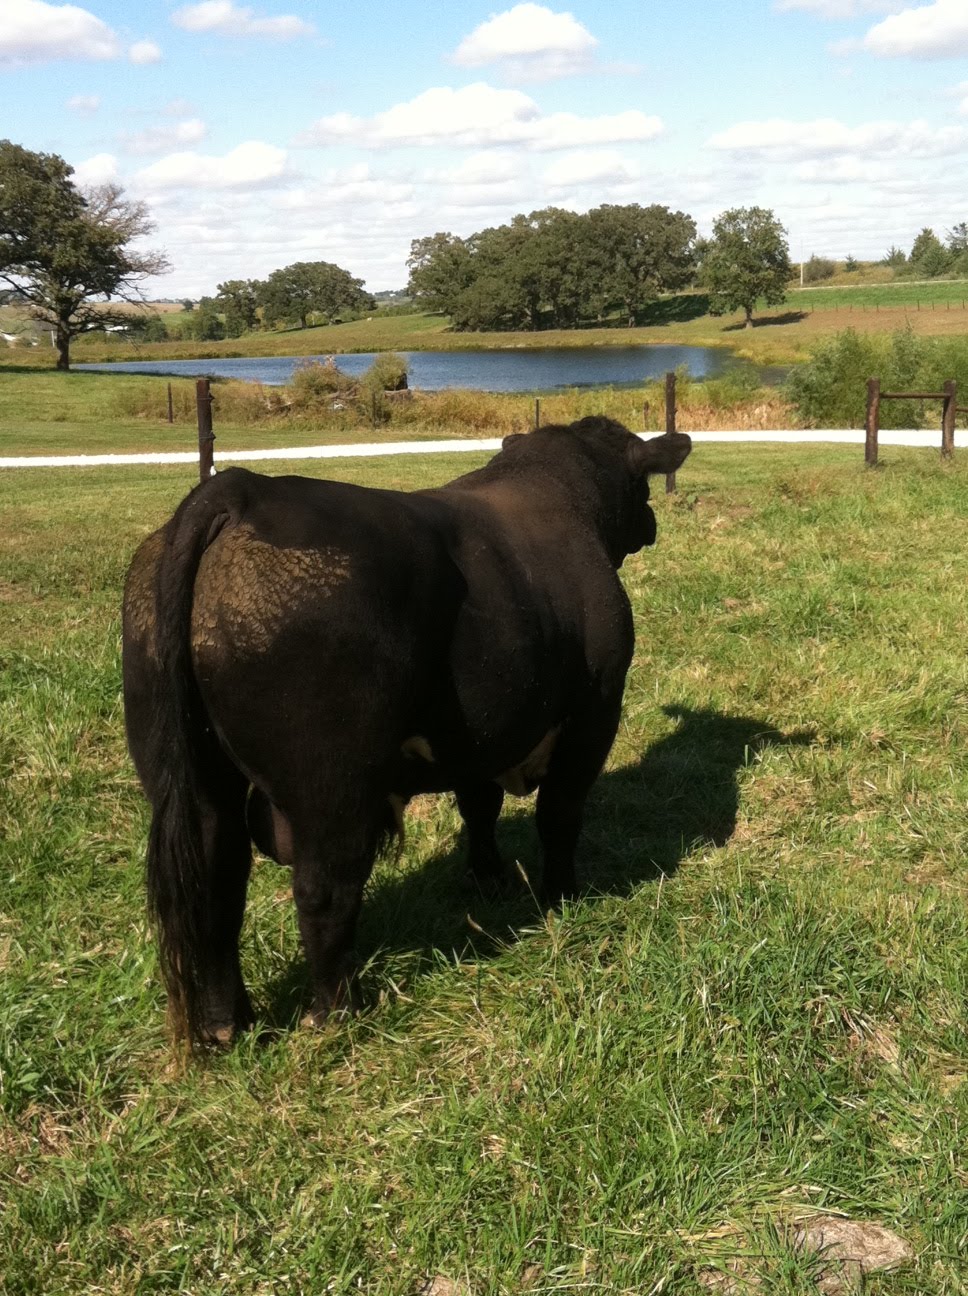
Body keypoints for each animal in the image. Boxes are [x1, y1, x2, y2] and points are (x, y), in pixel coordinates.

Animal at [122, 416, 691, 1046]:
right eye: (641, 482)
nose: (651, 522)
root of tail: (245, 490)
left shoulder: (479, 736)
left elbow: (479, 807)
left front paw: (487, 878)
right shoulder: (594, 712)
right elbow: (559, 815)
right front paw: (563, 895)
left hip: (195, 775)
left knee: (215, 880)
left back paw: (230, 1024)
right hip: (332, 783)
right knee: (324, 888)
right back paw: (339, 1011)